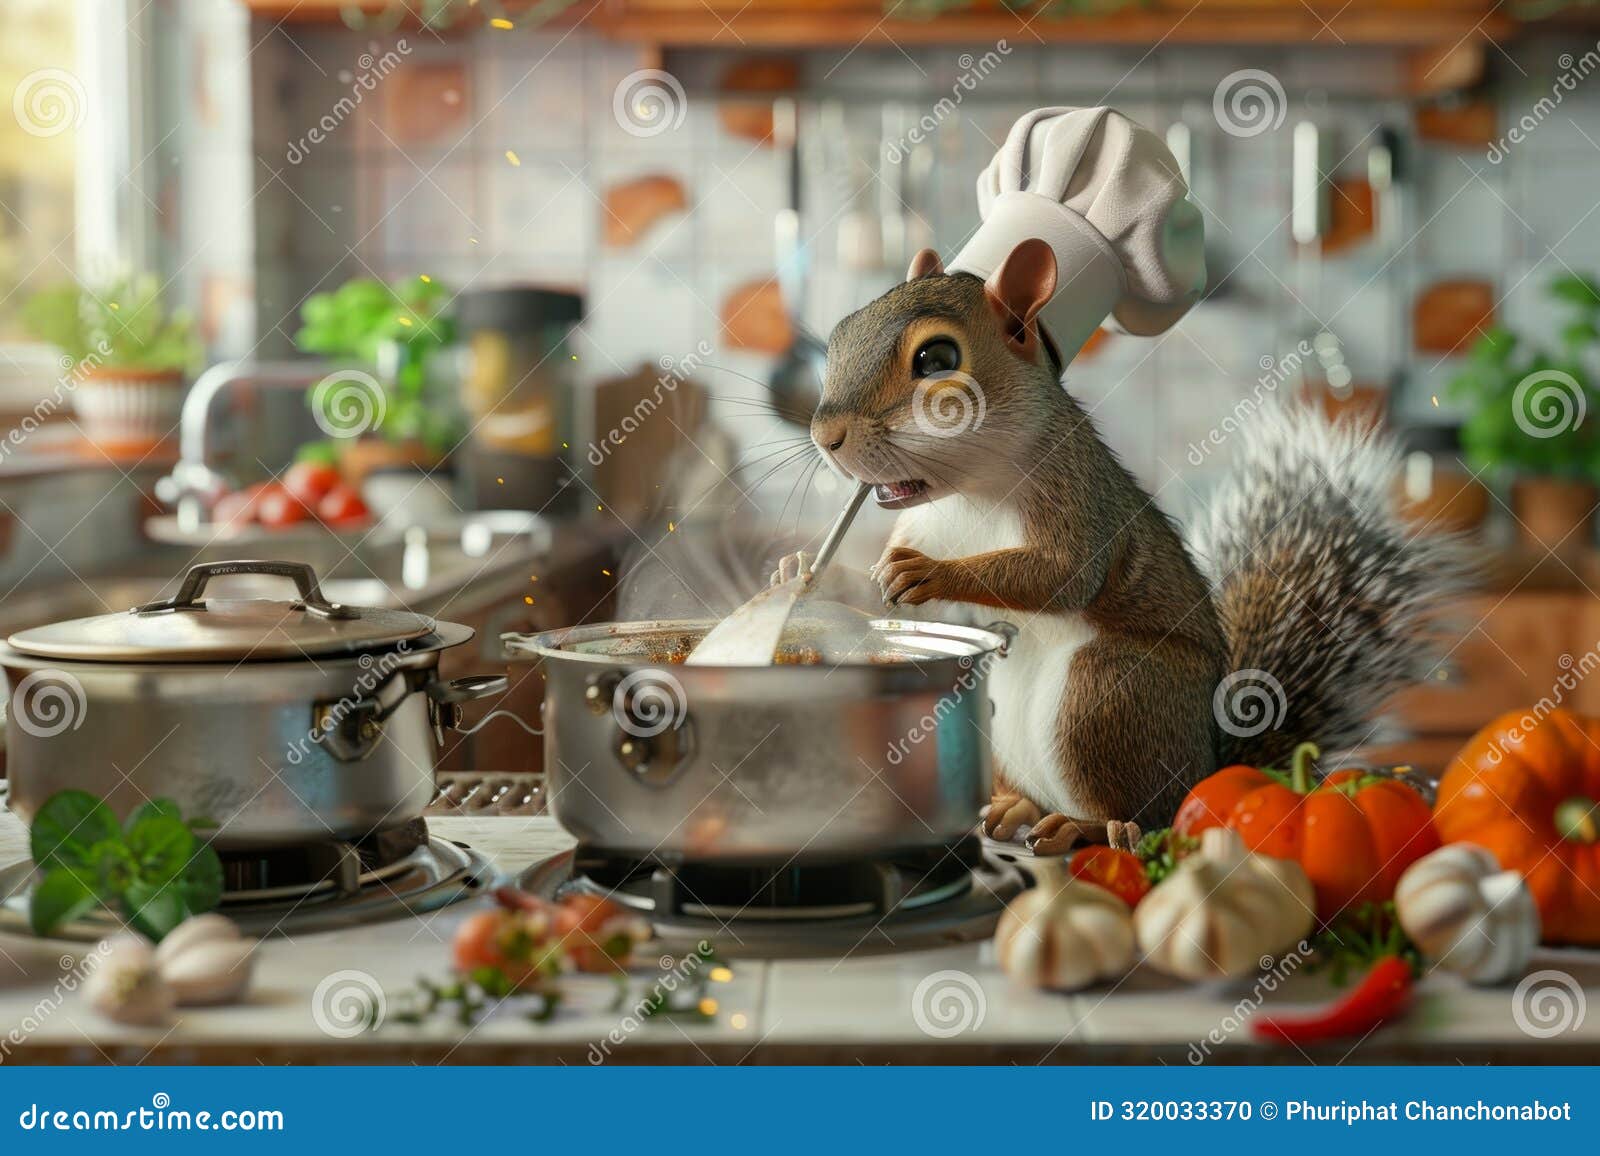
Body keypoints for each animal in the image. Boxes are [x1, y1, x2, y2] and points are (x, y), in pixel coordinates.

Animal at [789, 239, 1465, 855]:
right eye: (840, 334)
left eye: (937, 358)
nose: (825, 436)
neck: (968, 491)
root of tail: (1209, 761)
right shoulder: (917, 522)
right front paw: (800, 569)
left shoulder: (1074, 497)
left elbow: (1062, 575)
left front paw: (931, 573)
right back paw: (1015, 807)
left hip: (1109, 695)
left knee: (1146, 813)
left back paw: (1083, 826)